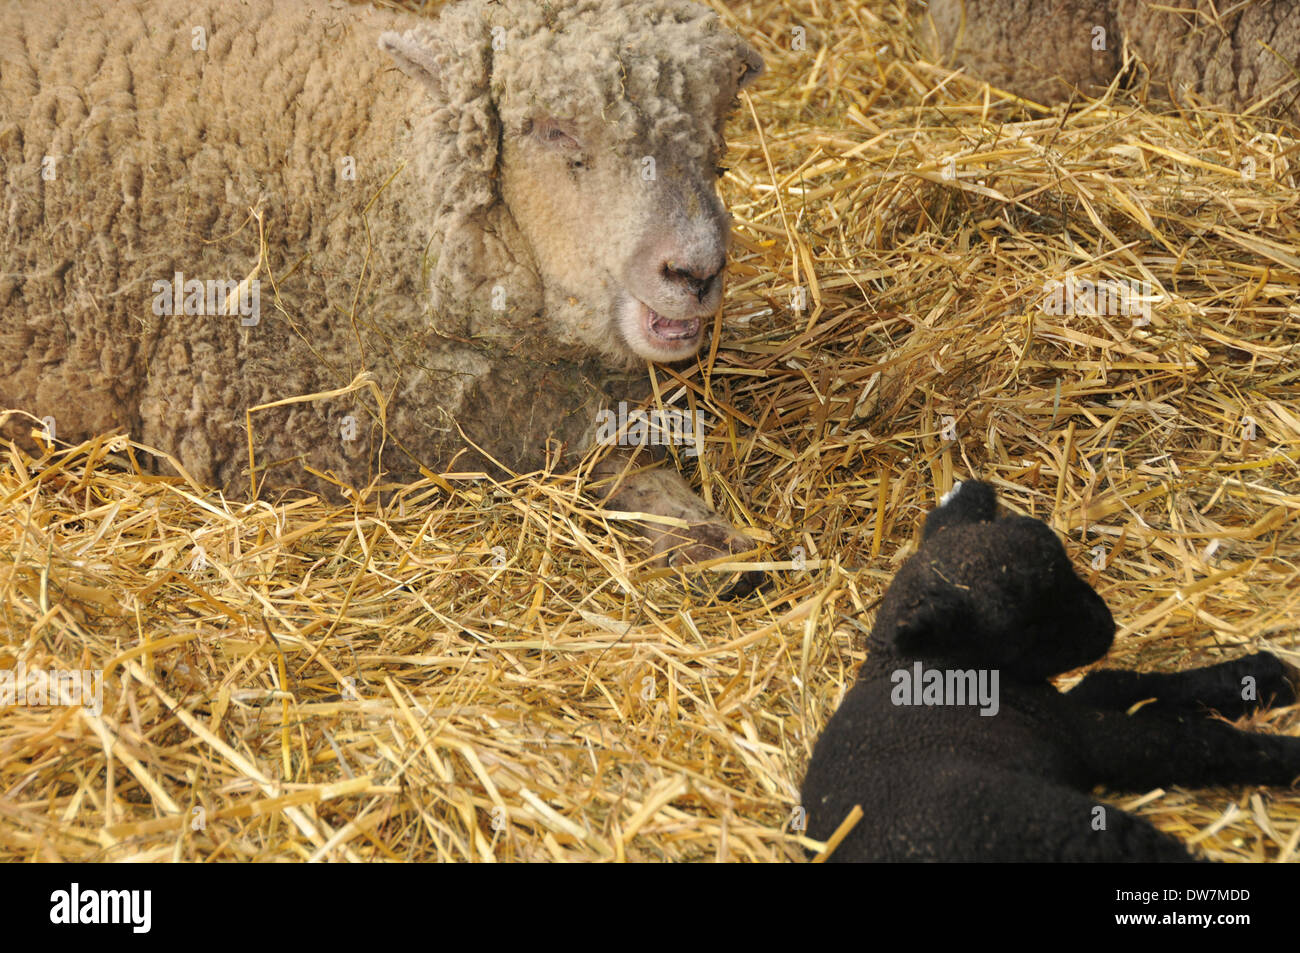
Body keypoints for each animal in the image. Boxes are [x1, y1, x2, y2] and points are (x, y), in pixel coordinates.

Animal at [801, 480, 1300, 861]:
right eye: (1025, 624)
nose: (1105, 625)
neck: (928, 664)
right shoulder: (1084, 734)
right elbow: (1193, 742)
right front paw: (1284, 746)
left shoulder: (1059, 707)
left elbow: (1120, 682)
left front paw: (1260, 675)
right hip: (1060, 825)